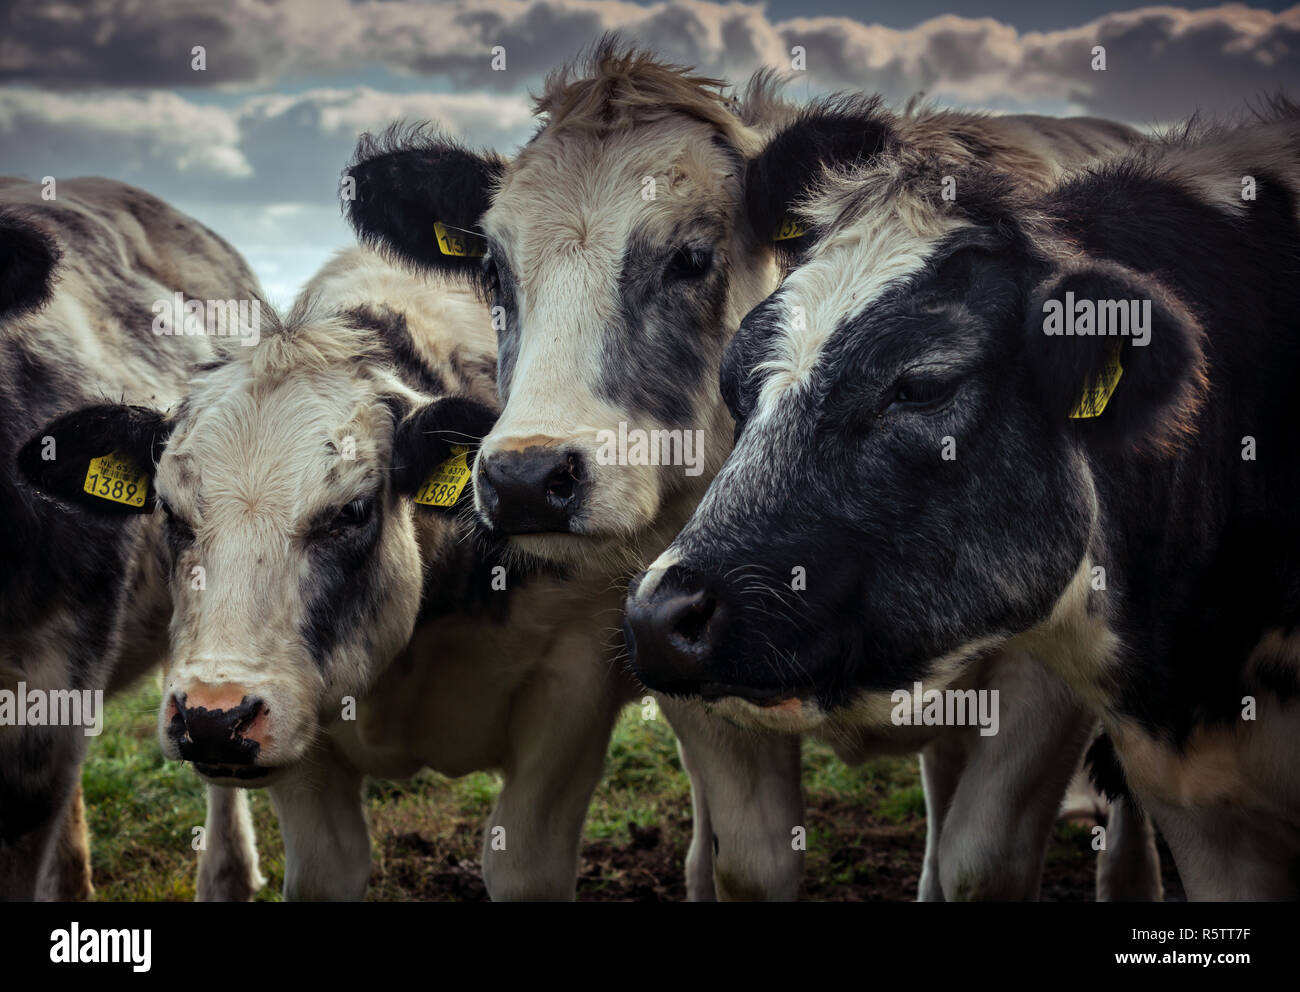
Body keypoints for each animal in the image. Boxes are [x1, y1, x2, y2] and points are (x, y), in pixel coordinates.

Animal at [345, 38, 1156, 899]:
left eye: (690, 257)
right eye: (494, 271)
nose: (527, 480)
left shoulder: (1051, 688)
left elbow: (982, 866)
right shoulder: (681, 647)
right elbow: (753, 864)